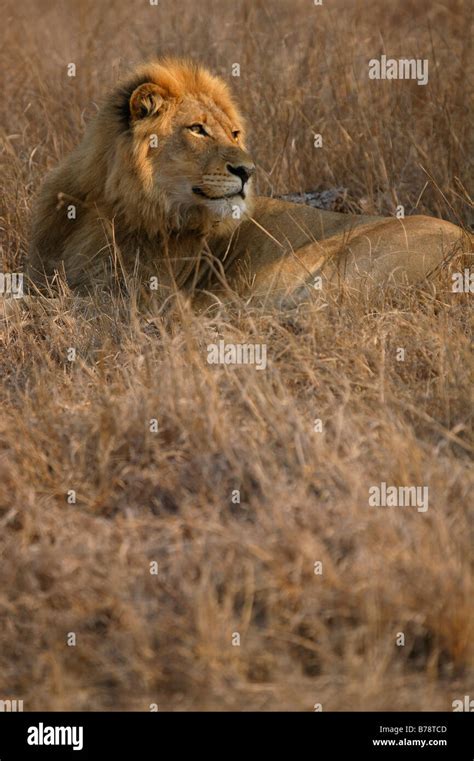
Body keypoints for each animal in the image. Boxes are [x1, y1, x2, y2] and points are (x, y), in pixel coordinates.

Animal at [27, 58, 469, 307]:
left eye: (234, 133)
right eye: (198, 129)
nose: (248, 171)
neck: (116, 206)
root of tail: (466, 251)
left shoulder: (139, 294)